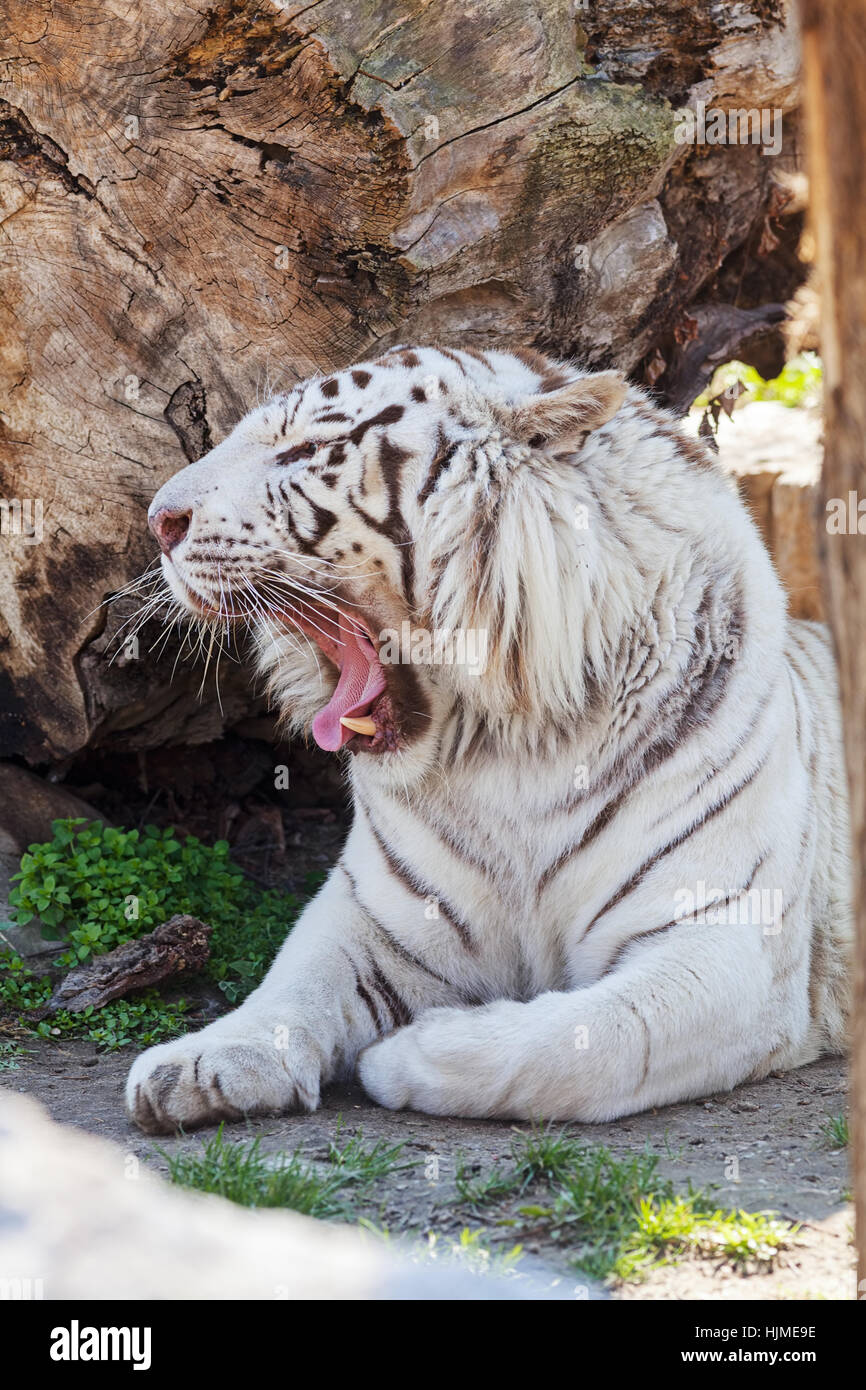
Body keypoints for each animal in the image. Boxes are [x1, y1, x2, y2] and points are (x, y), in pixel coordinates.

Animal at [125, 344, 852, 1134]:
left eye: (304, 450)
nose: (158, 521)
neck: (510, 748)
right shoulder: (375, 915)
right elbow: (293, 981)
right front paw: (196, 1064)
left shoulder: (722, 945)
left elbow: (581, 1043)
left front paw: (404, 1054)